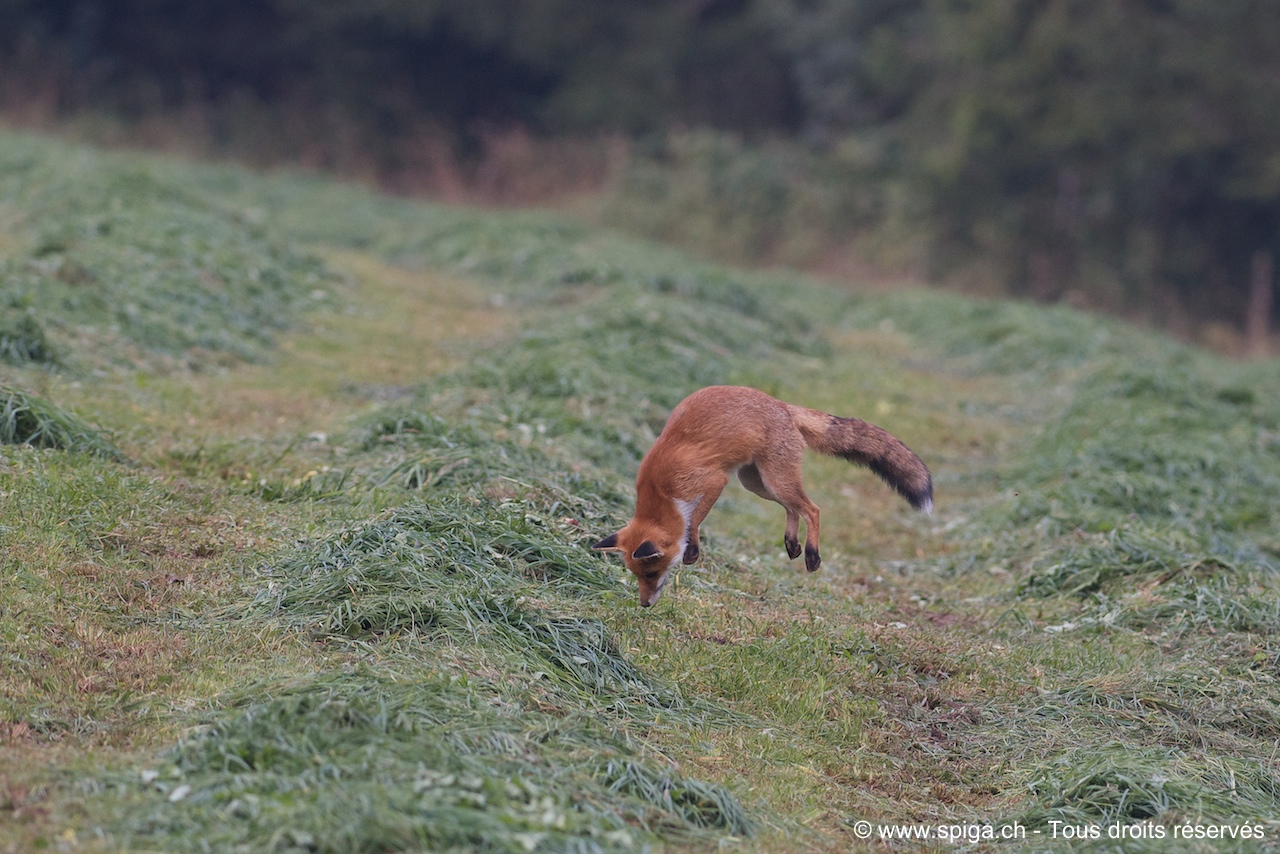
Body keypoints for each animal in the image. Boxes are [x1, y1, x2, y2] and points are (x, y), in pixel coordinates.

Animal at [593, 385, 933, 607]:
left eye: (652, 572)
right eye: (636, 575)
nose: (644, 604)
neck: (659, 491)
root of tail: (782, 405)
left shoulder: (714, 481)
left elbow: (694, 522)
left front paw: (692, 549)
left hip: (774, 480)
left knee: (813, 508)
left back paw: (811, 554)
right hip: (756, 483)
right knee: (793, 509)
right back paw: (792, 543)